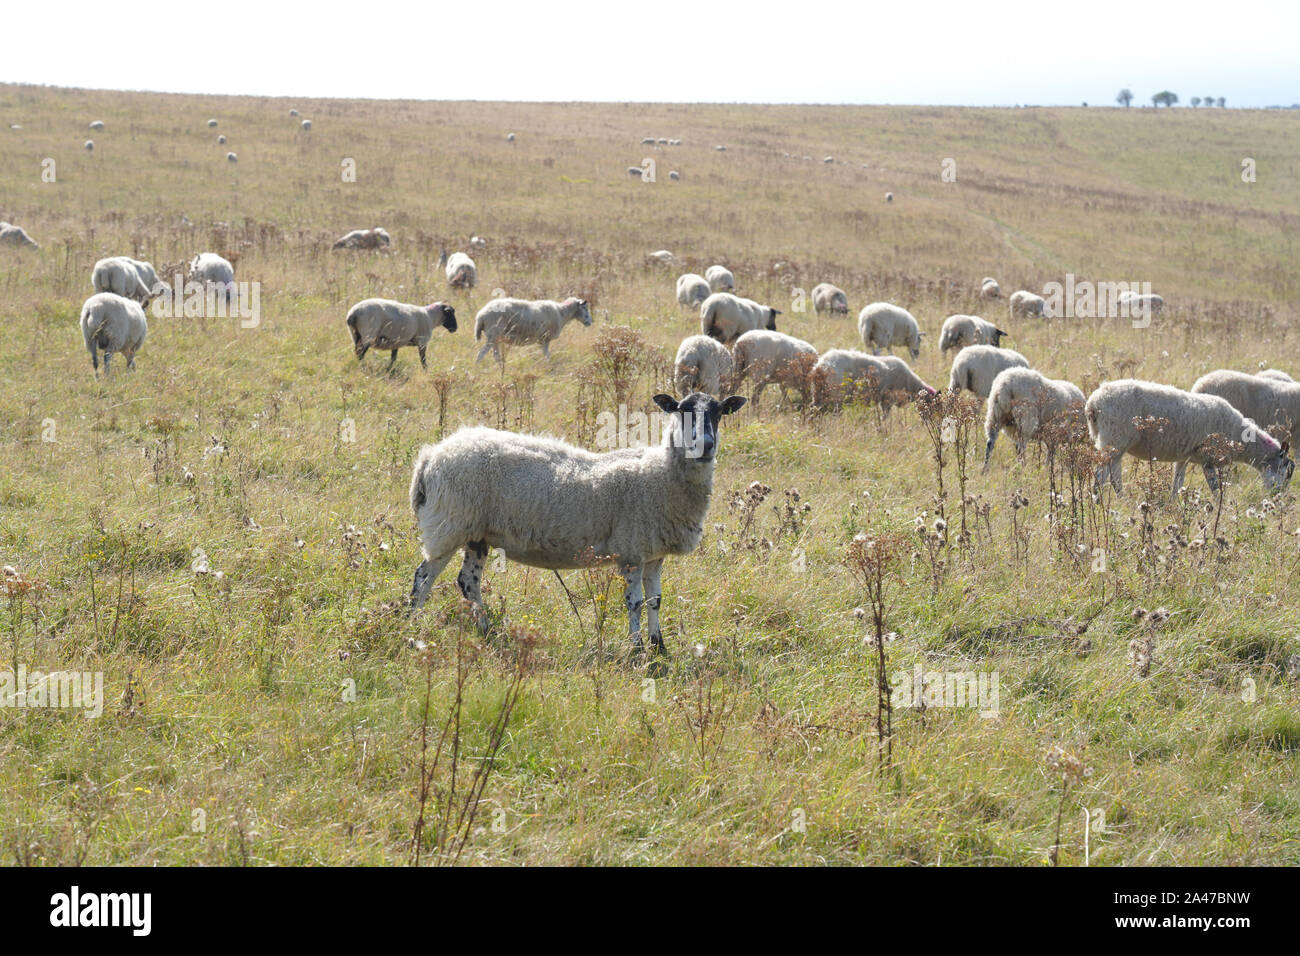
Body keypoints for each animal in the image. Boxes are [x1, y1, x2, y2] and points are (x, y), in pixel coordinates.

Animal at [408, 391, 747, 651]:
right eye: (683, 409)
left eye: (718, 412)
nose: (705, 444)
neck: (660, 475)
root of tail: (430, 457)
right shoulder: (632, 550)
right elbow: (635, 602)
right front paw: (637, 649)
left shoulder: (653, 553)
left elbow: (655, 601)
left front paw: (658, 647)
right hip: (448, 524)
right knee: (423, 577)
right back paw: (411, 626)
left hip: (476, 533)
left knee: (467, 581)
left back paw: (486, 628)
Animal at [1086, 379, 1293, 495]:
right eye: (1286, 471)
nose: (1278, 497)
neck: (1240, 437)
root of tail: (1094, 403)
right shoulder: (1208, 458)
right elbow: (1215, 489)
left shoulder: (1183, 458)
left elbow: (1177, 485)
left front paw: (1172, 505)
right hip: (1115, 437)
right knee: (1101, 476)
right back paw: (1099, 501)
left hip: (1113, 441)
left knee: (1114, 477)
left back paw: (1120, 498)